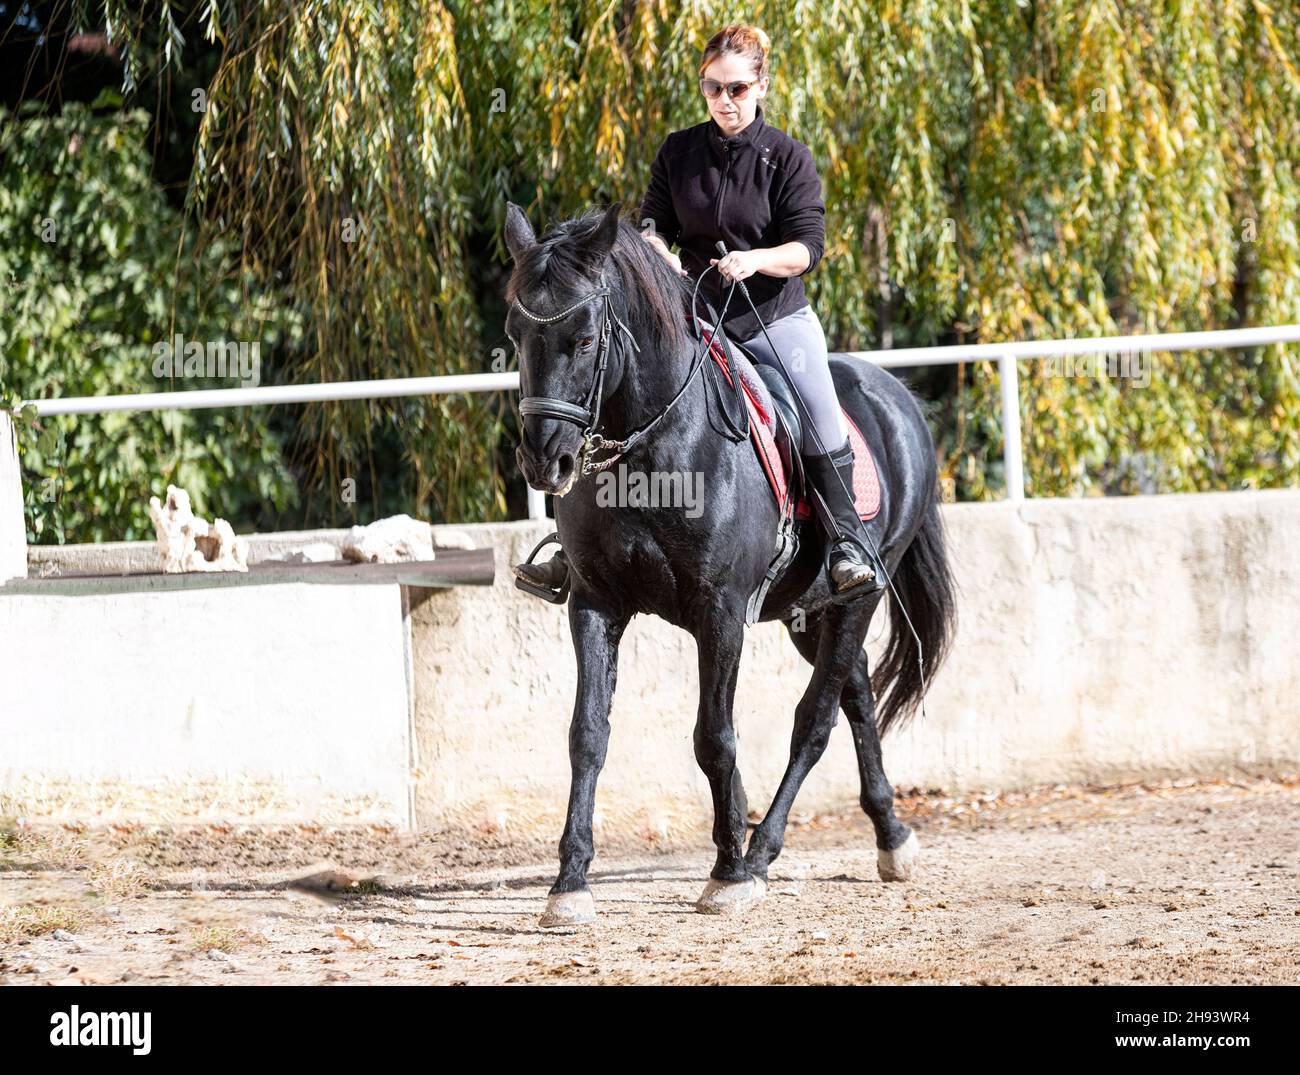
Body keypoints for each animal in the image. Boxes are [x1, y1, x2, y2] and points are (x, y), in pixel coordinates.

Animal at [504, 200, 957, 925]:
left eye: (585, 339)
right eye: (516, 335)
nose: (547, 461)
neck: (656, 449)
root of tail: (895, 394)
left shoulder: (720, 613)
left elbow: (714, 737)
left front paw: (727, 872)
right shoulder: (596, 604)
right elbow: (588, 733)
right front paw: (569, 883)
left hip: (860, 593)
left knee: (816, 719)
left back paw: (764, 848)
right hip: (811, 611)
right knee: (855, 696)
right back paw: (889, 835)